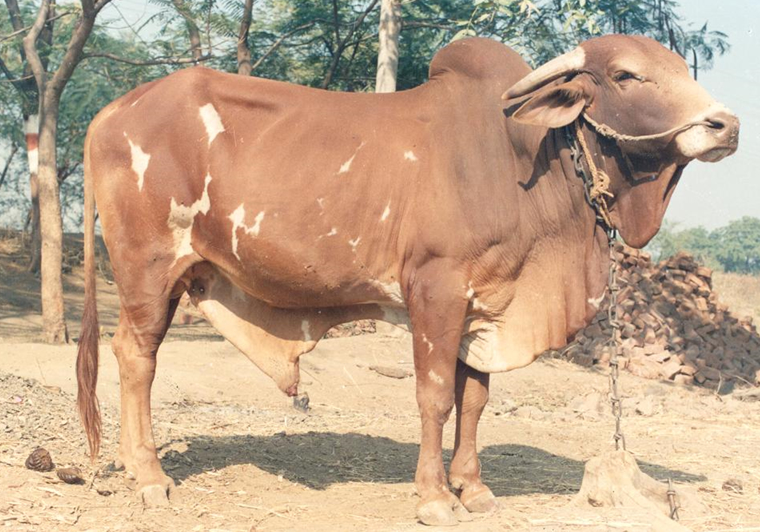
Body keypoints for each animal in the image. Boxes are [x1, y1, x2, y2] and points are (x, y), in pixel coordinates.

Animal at [77, 35, 739, 526]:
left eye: (683, 68)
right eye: (627, 74)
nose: (725, 125)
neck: (525, 159)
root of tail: (111, 112)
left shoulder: (487, 304)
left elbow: (475, 400)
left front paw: (473, 488)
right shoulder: (436, 292)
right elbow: (435, 395)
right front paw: (435, 496)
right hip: (147, 268)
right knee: (135, 356)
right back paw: (149, 476)